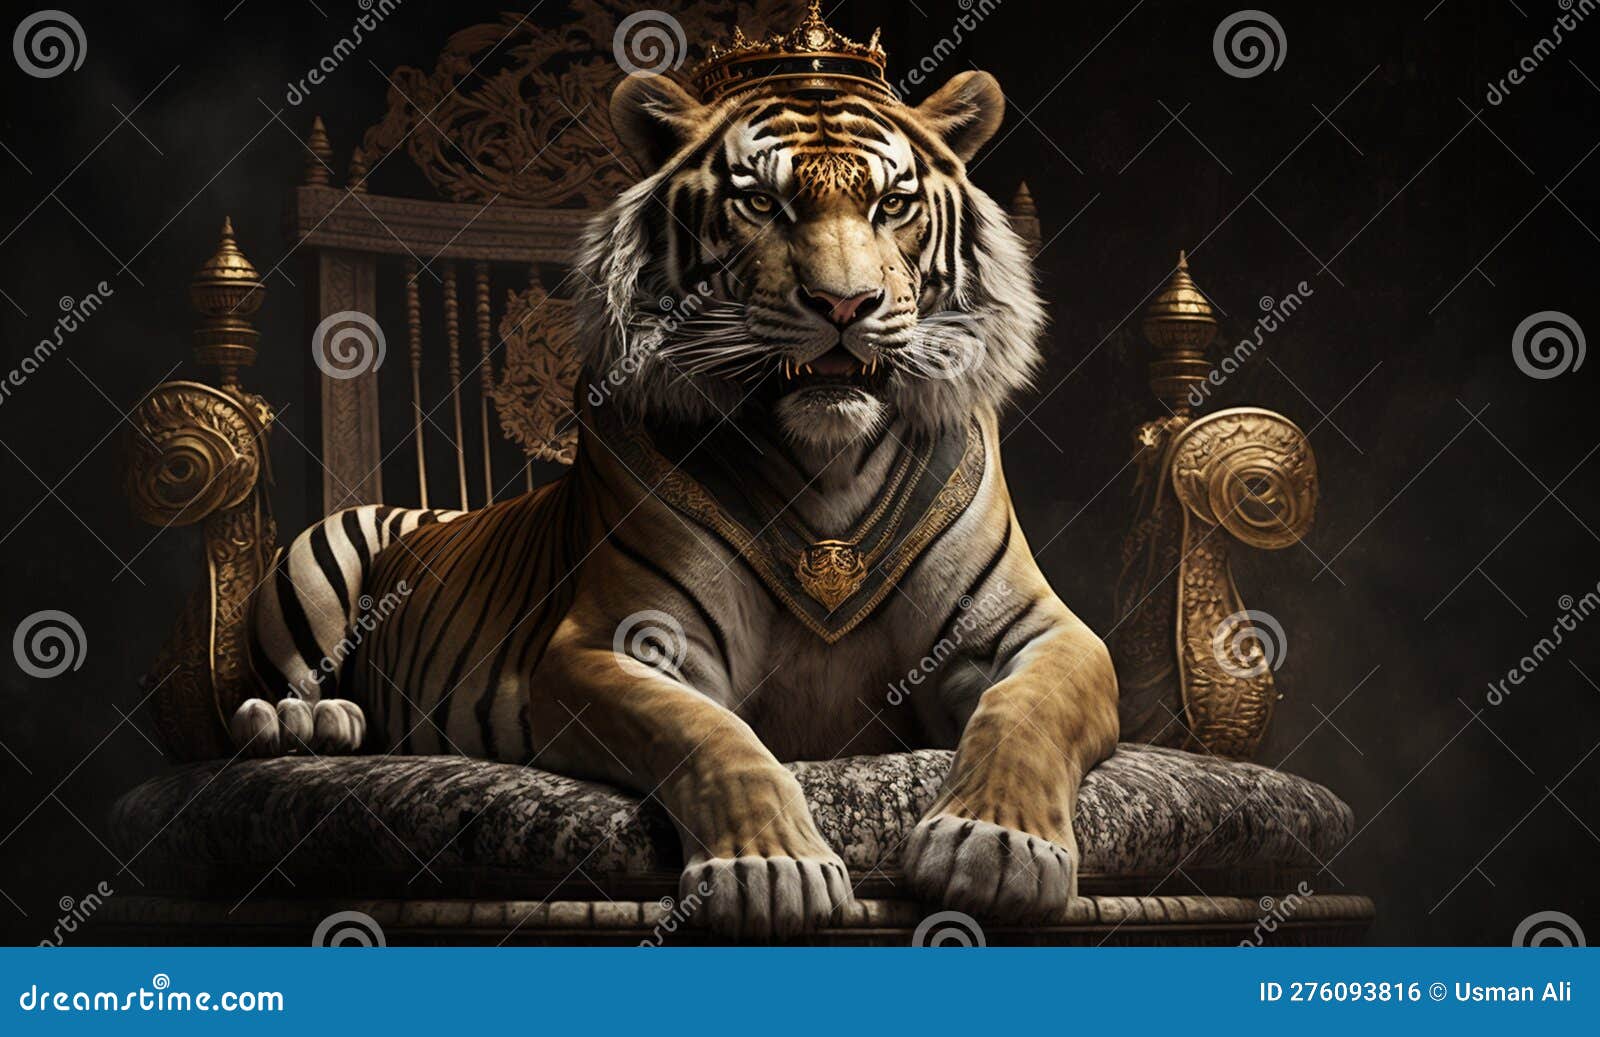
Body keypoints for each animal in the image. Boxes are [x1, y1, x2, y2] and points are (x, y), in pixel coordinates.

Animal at [234, 61, 1119, 940]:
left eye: (891, 205)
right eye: (762, 203)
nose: (844, 304)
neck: (827, 463)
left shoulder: (1039, 631)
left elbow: (1022, 711)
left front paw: (997, 844)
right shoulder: (616, 643)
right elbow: (710, 733)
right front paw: (771, 869)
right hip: (318, 552)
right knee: (290, 683)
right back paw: (306, 722)